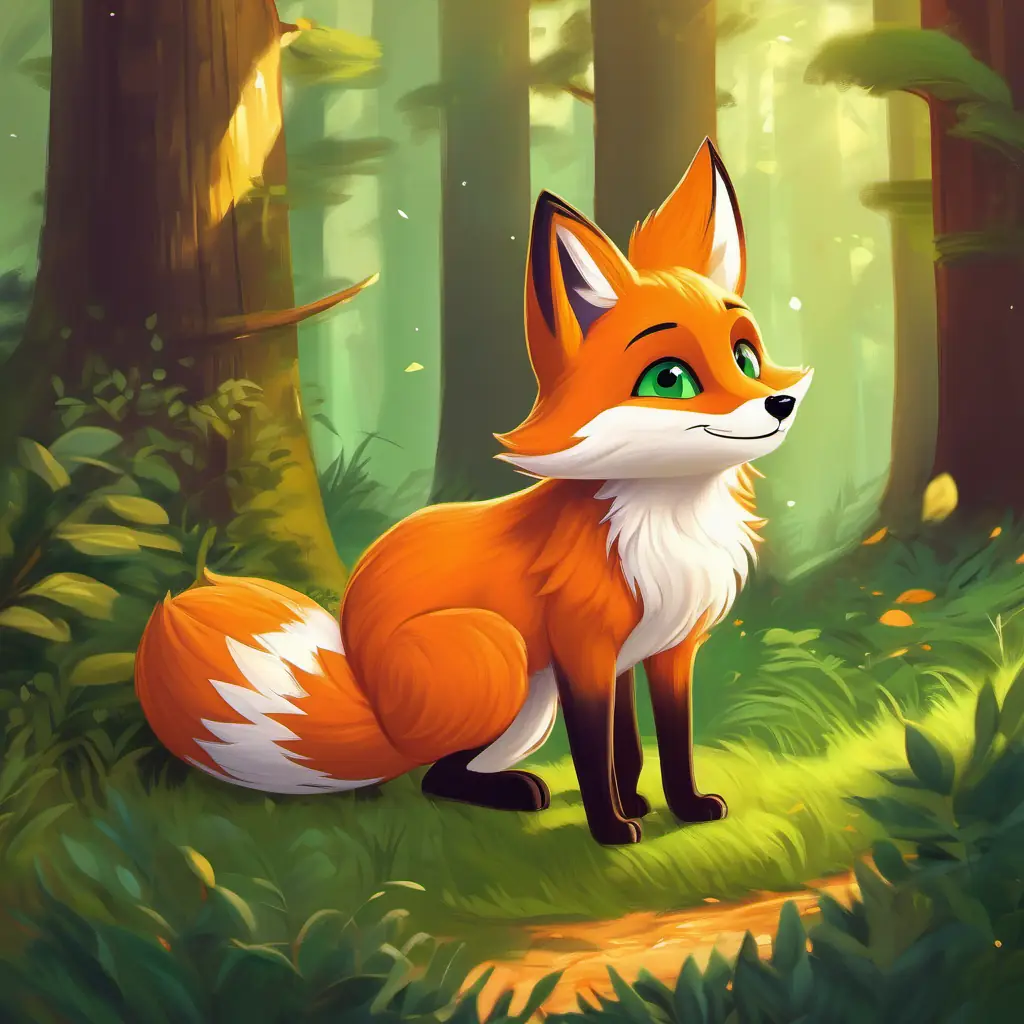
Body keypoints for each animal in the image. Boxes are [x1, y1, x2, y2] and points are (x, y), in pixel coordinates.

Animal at [135, 138, 812, 846]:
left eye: (745, 359)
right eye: (670, 379)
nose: (781, 405)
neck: (667, 520)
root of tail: (372, 701)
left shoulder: (660, 651)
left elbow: (658, 746)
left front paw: (674, 806)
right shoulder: (584, 652)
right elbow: (596, 752)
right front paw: (611, 826)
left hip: (527, 699)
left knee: (439, 774)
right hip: (502, 653)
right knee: (427, 776)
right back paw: (517, 794)